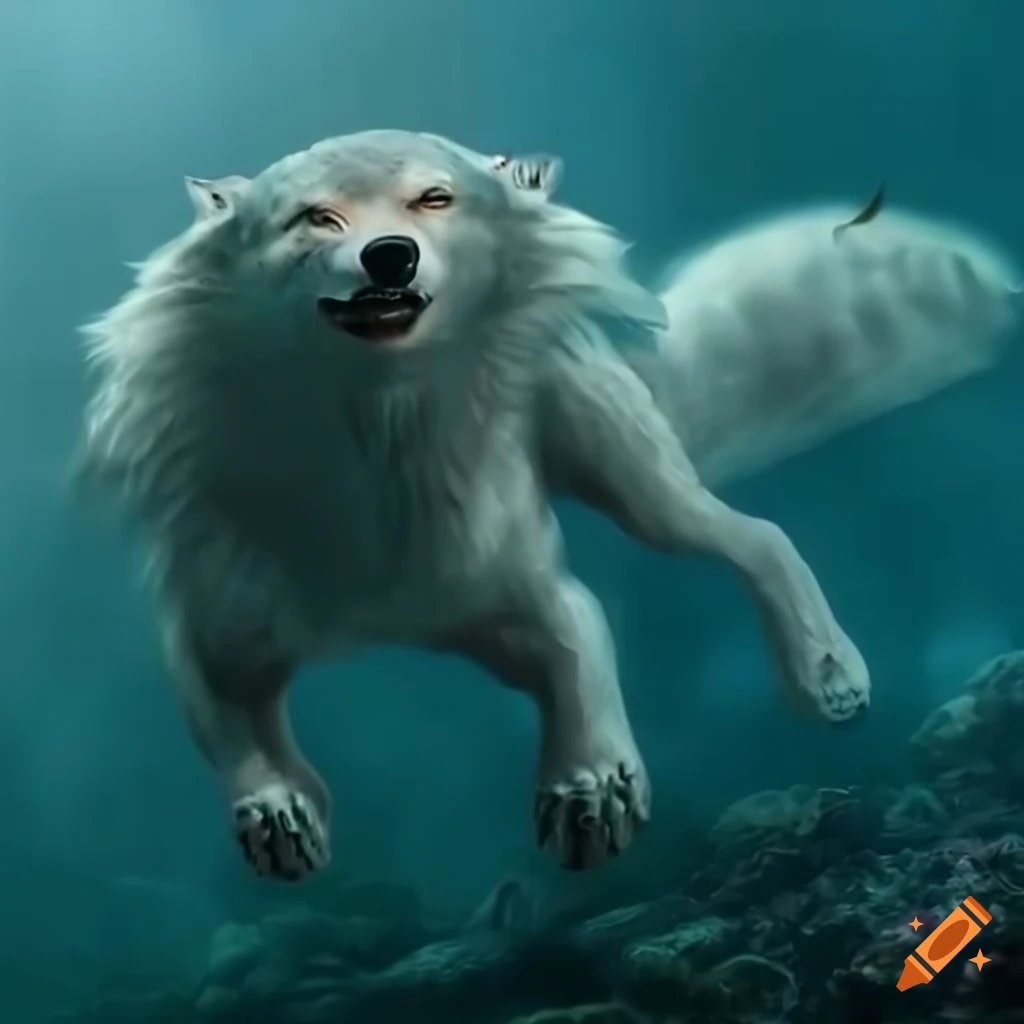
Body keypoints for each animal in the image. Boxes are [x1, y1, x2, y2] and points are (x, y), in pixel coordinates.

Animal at [81, 130, 1019, 879]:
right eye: (317, 218)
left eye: (433, 198)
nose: (391, 255)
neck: (378, 443)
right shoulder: (214, 638)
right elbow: (238, 739)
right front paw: (279, 818)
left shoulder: (529, 599)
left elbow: (582, 663)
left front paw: (591, 793)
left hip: (637, 486)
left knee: (755, 534)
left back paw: (829, 676)